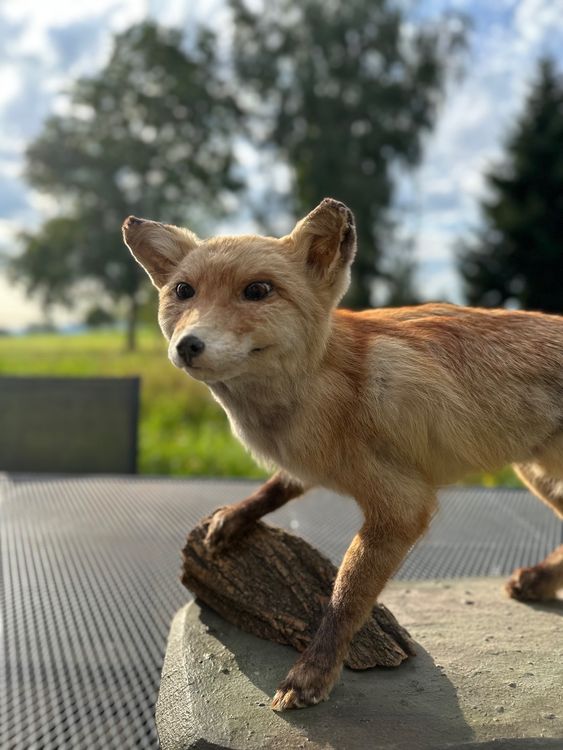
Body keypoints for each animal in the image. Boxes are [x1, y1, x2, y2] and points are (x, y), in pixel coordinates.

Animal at [122, 197, 563, 711]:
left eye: (257, 290)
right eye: (184, 291)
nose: (188, 345)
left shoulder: (402, 508)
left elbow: (346, 598)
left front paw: (312, 673)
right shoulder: (306, 464)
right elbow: (276, 489)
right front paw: (234, 517)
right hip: (536, 474)